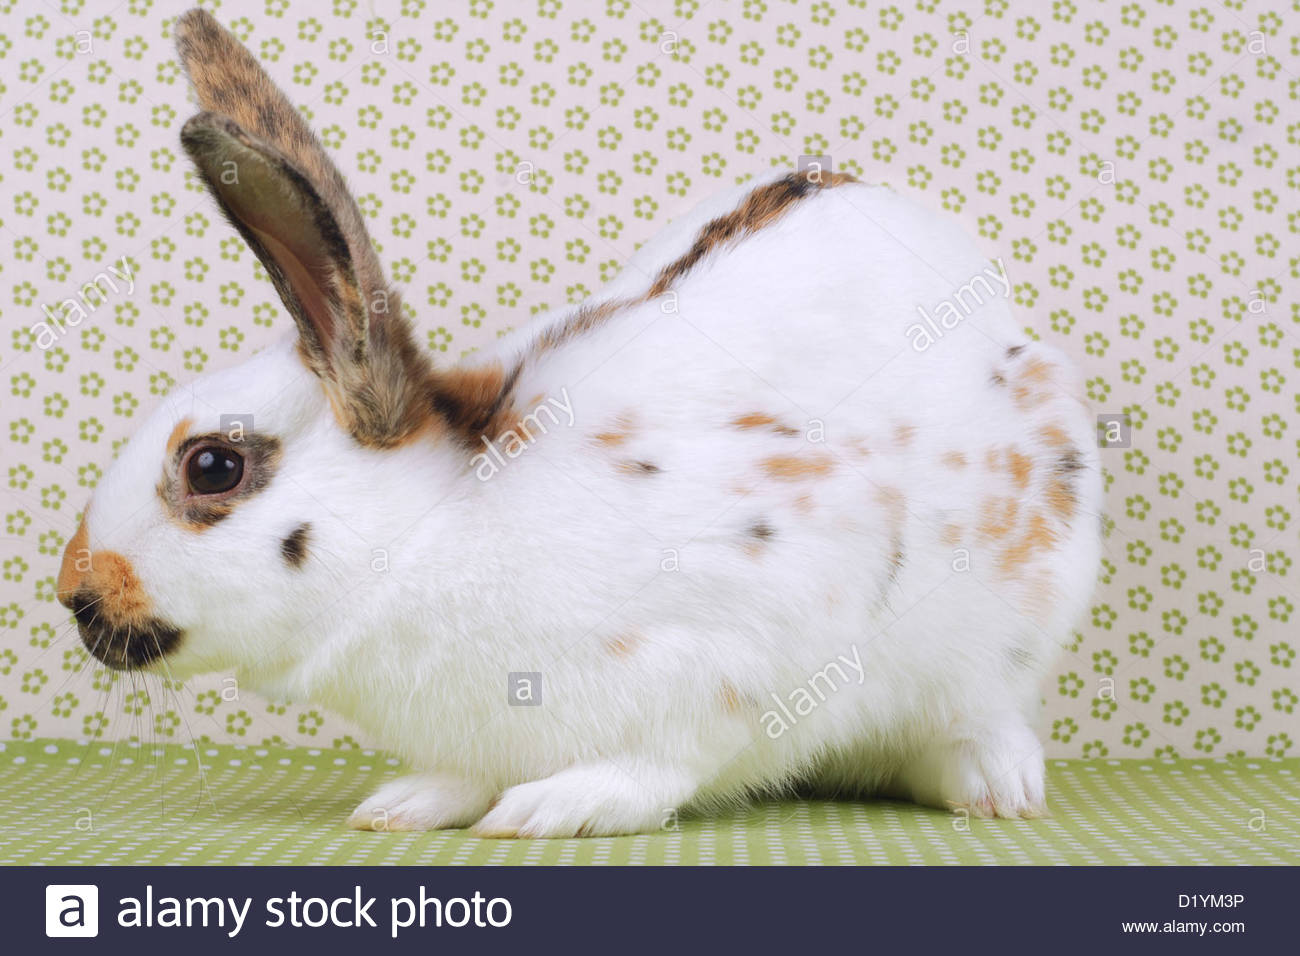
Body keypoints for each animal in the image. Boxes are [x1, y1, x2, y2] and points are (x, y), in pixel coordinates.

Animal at [55, 8, 1102, 838]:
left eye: (214, 467)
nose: (73, 591)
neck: (425, 535)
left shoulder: (756, 624)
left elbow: (666, 759)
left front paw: (553, 807)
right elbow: (462, 774)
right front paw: (407, 804)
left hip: (1005, 629)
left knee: (978, 713)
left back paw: (997, 786)